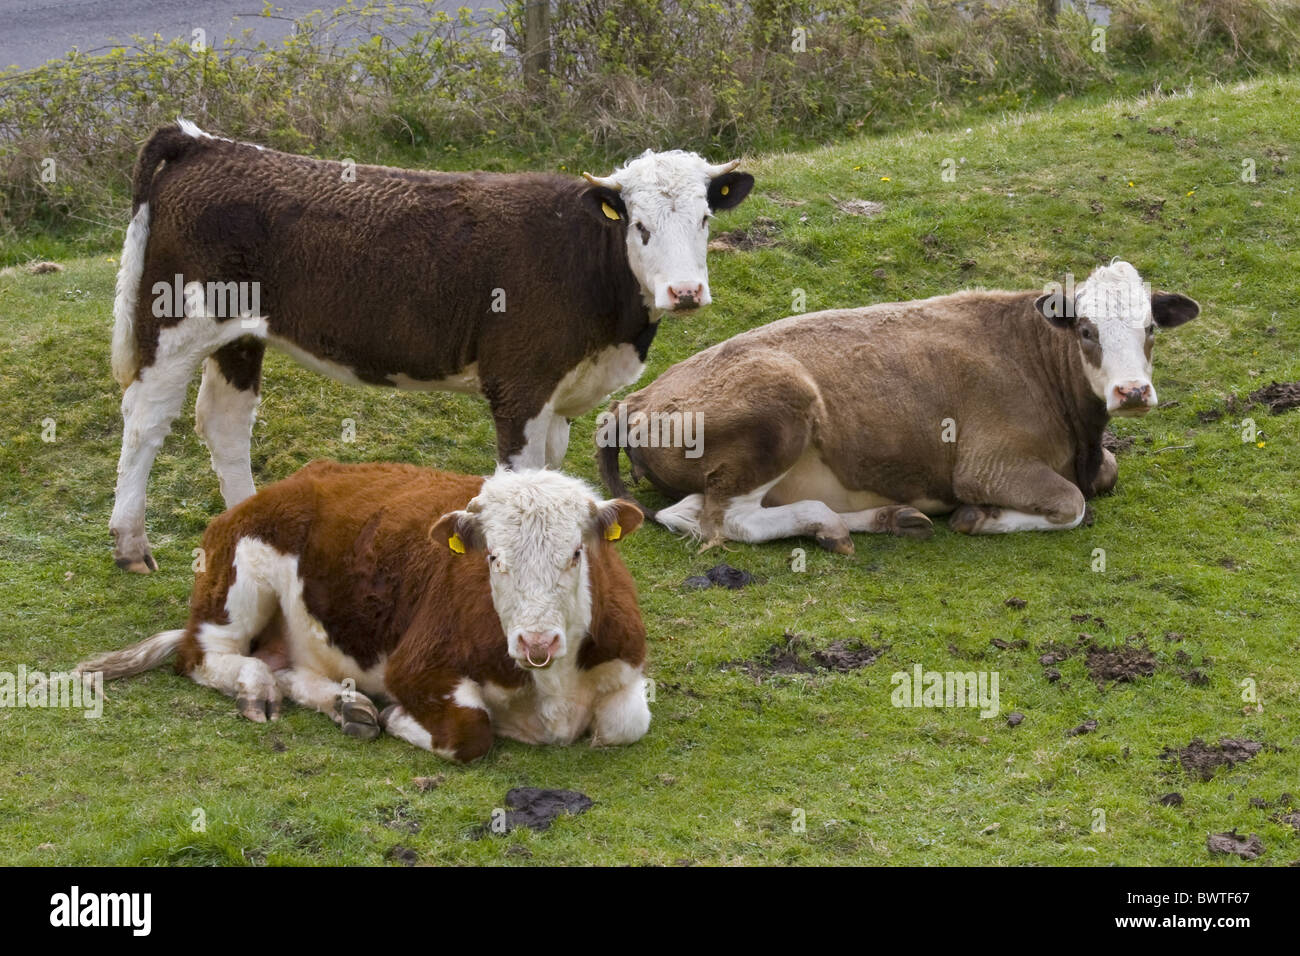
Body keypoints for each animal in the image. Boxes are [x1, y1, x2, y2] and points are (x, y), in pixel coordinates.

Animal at [78, 462, 651, 761]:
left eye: (576, 553)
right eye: (492, 557)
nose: (536, 643)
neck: (552, 686)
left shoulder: (626, 667)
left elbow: (627, 722)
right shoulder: (416, 667)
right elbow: (471, 731)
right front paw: (400, 718)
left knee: (284, 667)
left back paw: (344, 704)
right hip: (239, 578)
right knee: (204, 656)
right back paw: (256, 687)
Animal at [108, 120, 753, 572]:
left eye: (703, 218)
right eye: (639, 226)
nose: (685, 292)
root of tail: (207, 144)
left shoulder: (558, 393)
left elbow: (549, 474)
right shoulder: (518, 385)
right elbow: (520, 478)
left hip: (239, 334)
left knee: (225, 422)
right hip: (174, 325)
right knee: (145, 421)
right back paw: (130, 544)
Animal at [598, 261, 1199, 552]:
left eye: (1149, 328)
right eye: (1087, 330)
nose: (1132, 392)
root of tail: (634, 400)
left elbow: (1106, 475)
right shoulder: (989, 465)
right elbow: (1071, 503)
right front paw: (979, 517)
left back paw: (892, 516)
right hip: (779, 409)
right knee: (720, 519)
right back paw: (826, 524)